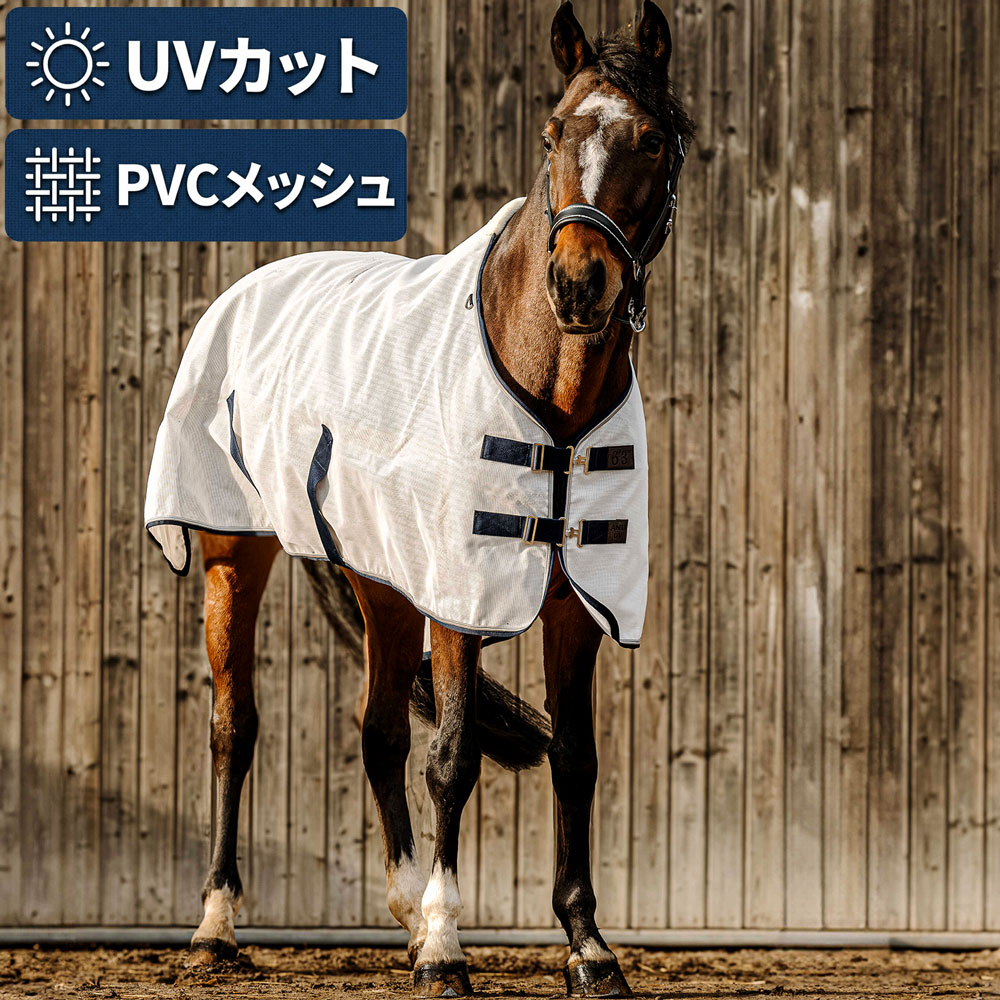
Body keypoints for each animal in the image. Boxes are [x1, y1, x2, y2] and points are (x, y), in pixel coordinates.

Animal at [158, 2, 694, 995]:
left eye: (650, 136)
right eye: (554, 132)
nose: (577, 285)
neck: (554, 404)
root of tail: (248, 287)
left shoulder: (574, 601)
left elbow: (576, 758)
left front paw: (589, 947)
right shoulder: (461, 594)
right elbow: (453, 756)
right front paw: (448, 946)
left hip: (383, 580)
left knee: (376, 733)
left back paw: (403, 913)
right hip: (232, 554)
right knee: (233, 725)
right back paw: (218, 924)